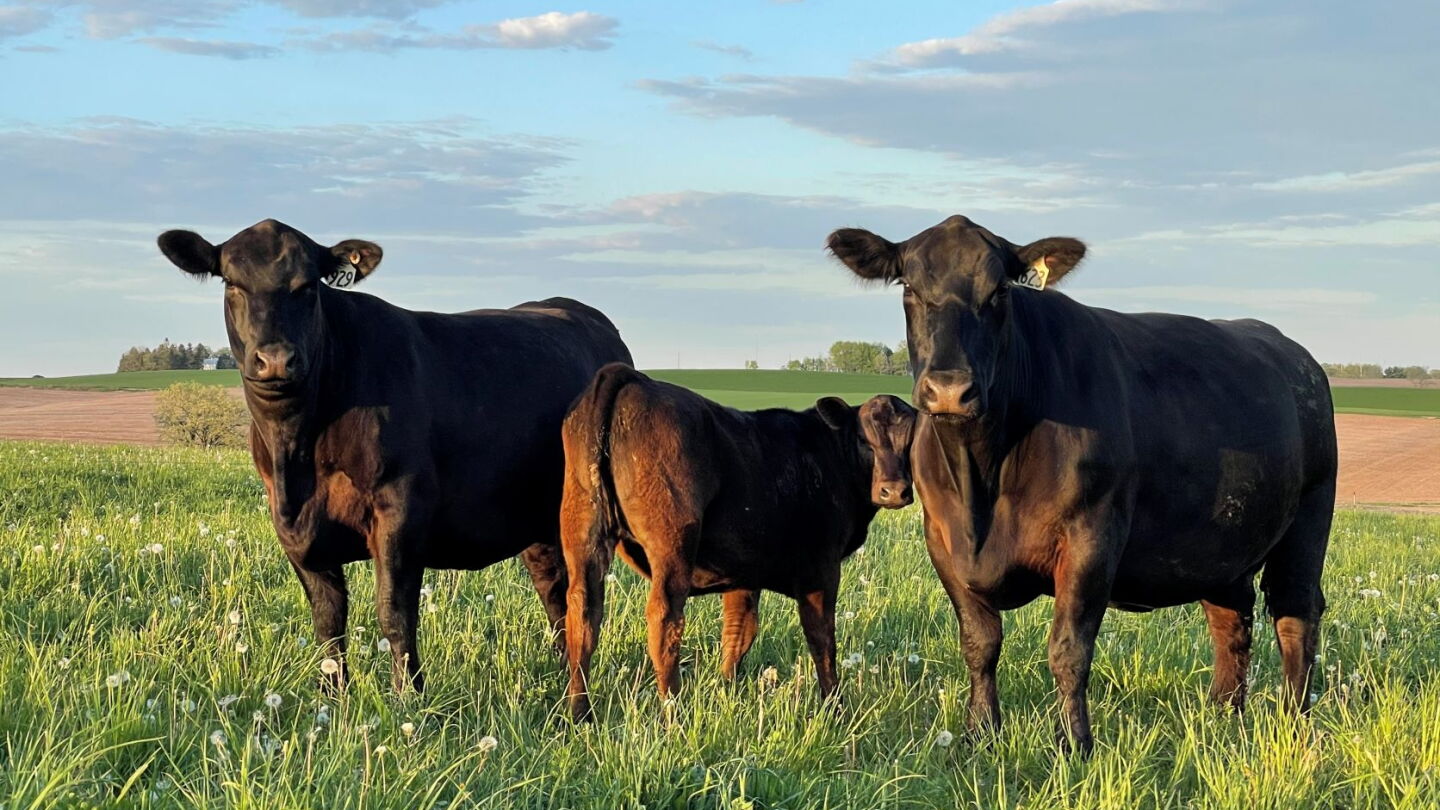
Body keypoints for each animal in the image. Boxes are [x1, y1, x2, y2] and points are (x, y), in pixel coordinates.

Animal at [156, 219, 632, 693]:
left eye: (308, 286)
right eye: (233, 283)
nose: (275, 360)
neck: (297, 452)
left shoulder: (401, 507)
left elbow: (394, 612)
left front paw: (408, 695)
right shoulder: (292, 526)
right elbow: (328, 620)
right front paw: (334, 696)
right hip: (535, 520)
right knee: (554, 592)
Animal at [559, 363, 918, 721]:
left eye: (911, 441)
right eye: (863, 439)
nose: (893, 490)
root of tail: (635, 379)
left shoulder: (745, 572)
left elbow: (740, 631)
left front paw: (726, 693)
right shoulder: (822, 567)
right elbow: (822, 639)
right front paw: (834, 708)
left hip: (582, 531)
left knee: (582, 611)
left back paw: (580, 712)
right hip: (673, 541)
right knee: (664, 618)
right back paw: (672, 711)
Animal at [828, 214, 1336, 754]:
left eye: (999, 292)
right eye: (910, 288)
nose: (949, 389)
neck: (981, 482)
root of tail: (1291, 351)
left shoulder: (1091, 536)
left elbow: (1068, 650)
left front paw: (1073, 744)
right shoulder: (942, 543)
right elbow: (980, 643)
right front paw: (979, 735)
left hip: (1309, 519)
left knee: (1296, 615)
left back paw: (1293, 722)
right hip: (1222, 545)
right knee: (1231, 620)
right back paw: (1223, 715)